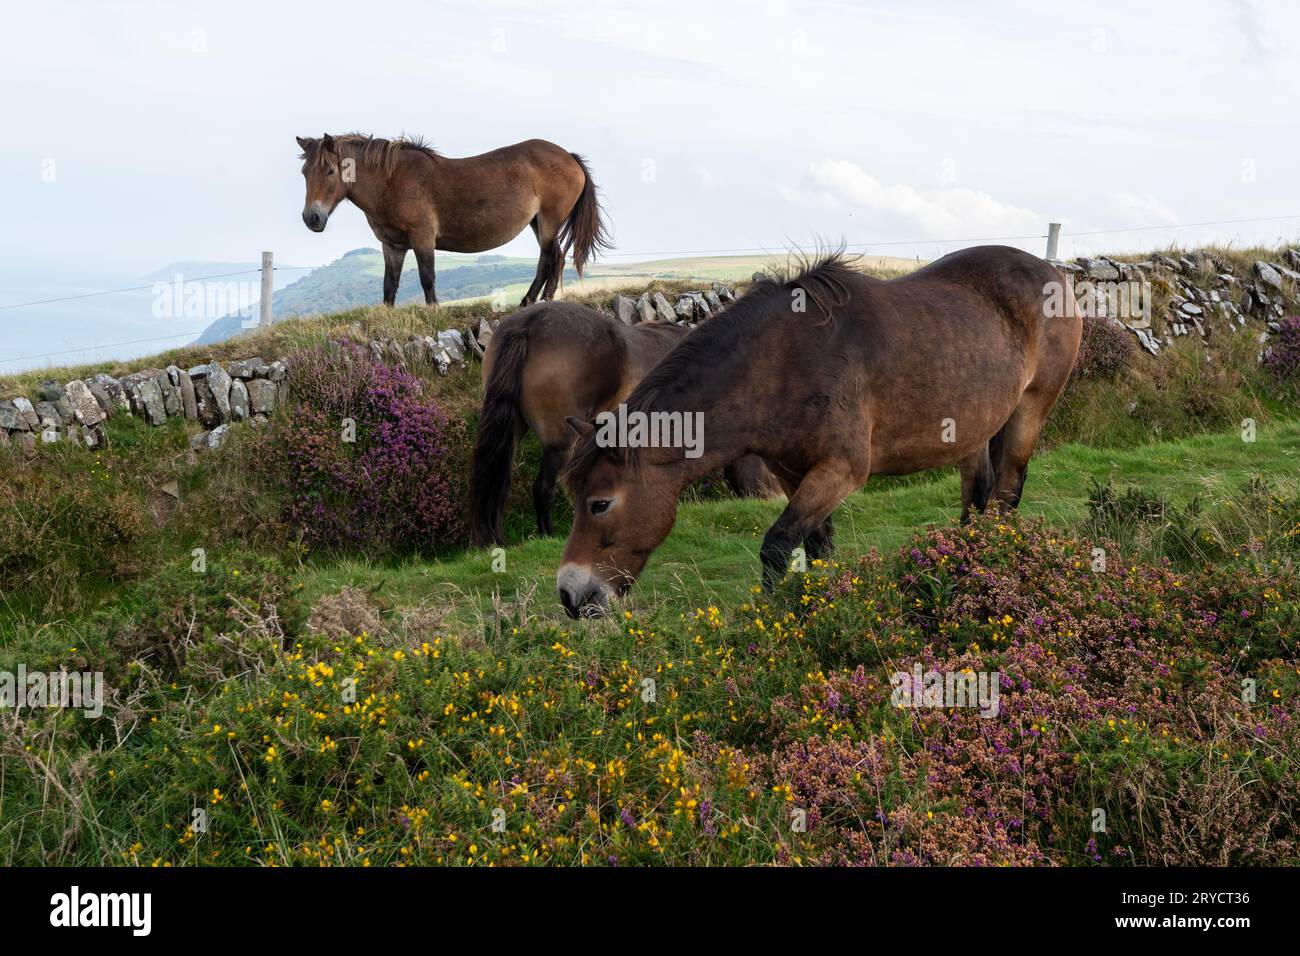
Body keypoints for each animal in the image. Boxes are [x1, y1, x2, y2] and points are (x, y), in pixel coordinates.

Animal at [296, 134, 611, 307]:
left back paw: (529, 301)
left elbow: (427, 278)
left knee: (547, 259)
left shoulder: (422, 238)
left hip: (548, 221)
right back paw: (544, 299)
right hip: (538, 223)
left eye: (329, 171)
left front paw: (433, 310)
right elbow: (389, 284)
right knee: (556, 258)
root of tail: (569, 157)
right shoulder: (392, 246)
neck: (392, 181)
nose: (312, 218)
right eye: (304, 172)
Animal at [469, 301, 779, 548]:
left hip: (513, 431)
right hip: (561, 441)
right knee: (543, 487)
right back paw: (548, 536)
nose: (776, 497)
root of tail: (529, 323)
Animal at [555, 245, 1083, 618]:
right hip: (973, 426)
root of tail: (1054, 273)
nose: (571, 594)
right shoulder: (794, 473)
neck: (783, 364)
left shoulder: (840, 470)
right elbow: (818, 548)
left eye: (600, 503)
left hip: (1030, 410)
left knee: (1007, 491)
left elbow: (776, 546)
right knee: (977, 498)